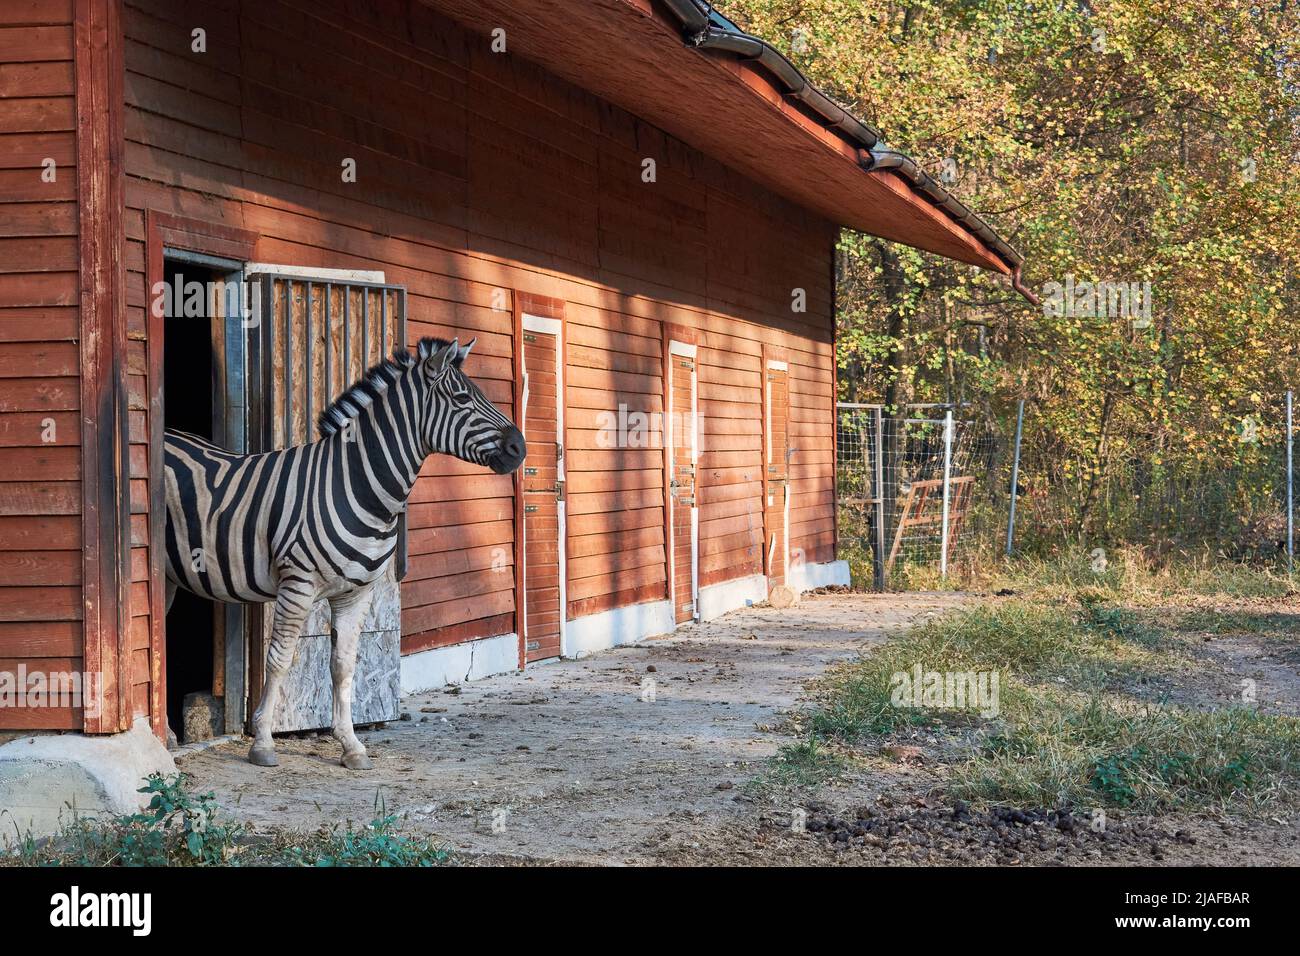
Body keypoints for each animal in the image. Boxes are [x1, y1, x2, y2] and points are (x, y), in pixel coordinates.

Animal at [164, 337, 525, 769]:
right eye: (461, 398)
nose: (520, 448)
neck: (355, 483)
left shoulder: (357, 594)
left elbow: (343, 666)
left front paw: (351, 745)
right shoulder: (297, 585)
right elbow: (280, 660)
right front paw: (263, 743)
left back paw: (168, 736)